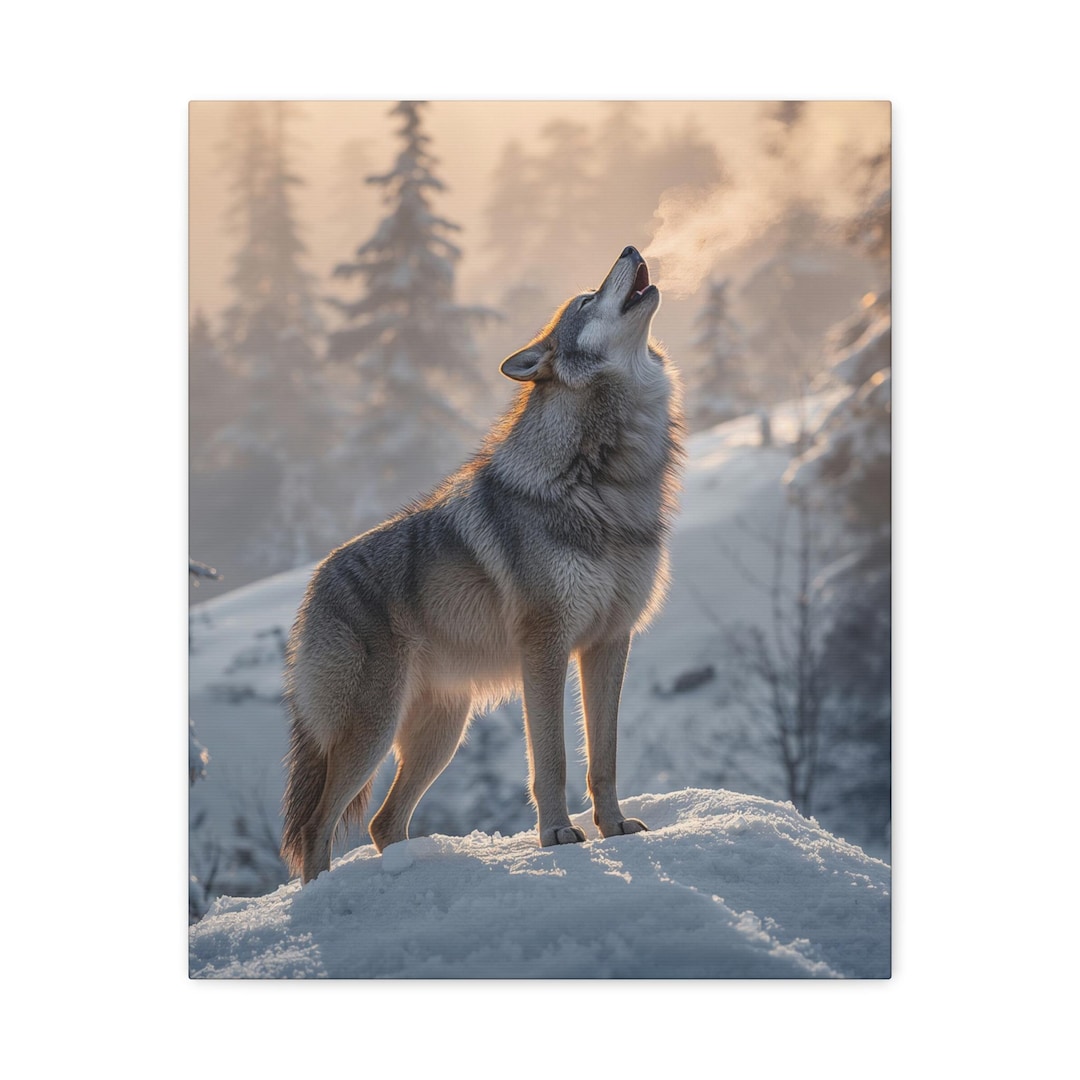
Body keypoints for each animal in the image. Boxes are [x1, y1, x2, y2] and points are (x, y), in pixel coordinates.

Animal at [280, 245, 684, 883]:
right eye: (586, 300)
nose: (628, 249)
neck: (603, 479)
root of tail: (315, 583)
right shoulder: (545, 646)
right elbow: (552, 759)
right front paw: (556, 835)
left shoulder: (609, 641)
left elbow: (604, 758)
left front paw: (615, 828)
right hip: (373, 731)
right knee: (319, 826)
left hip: (442, 733)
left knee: (382, 823)